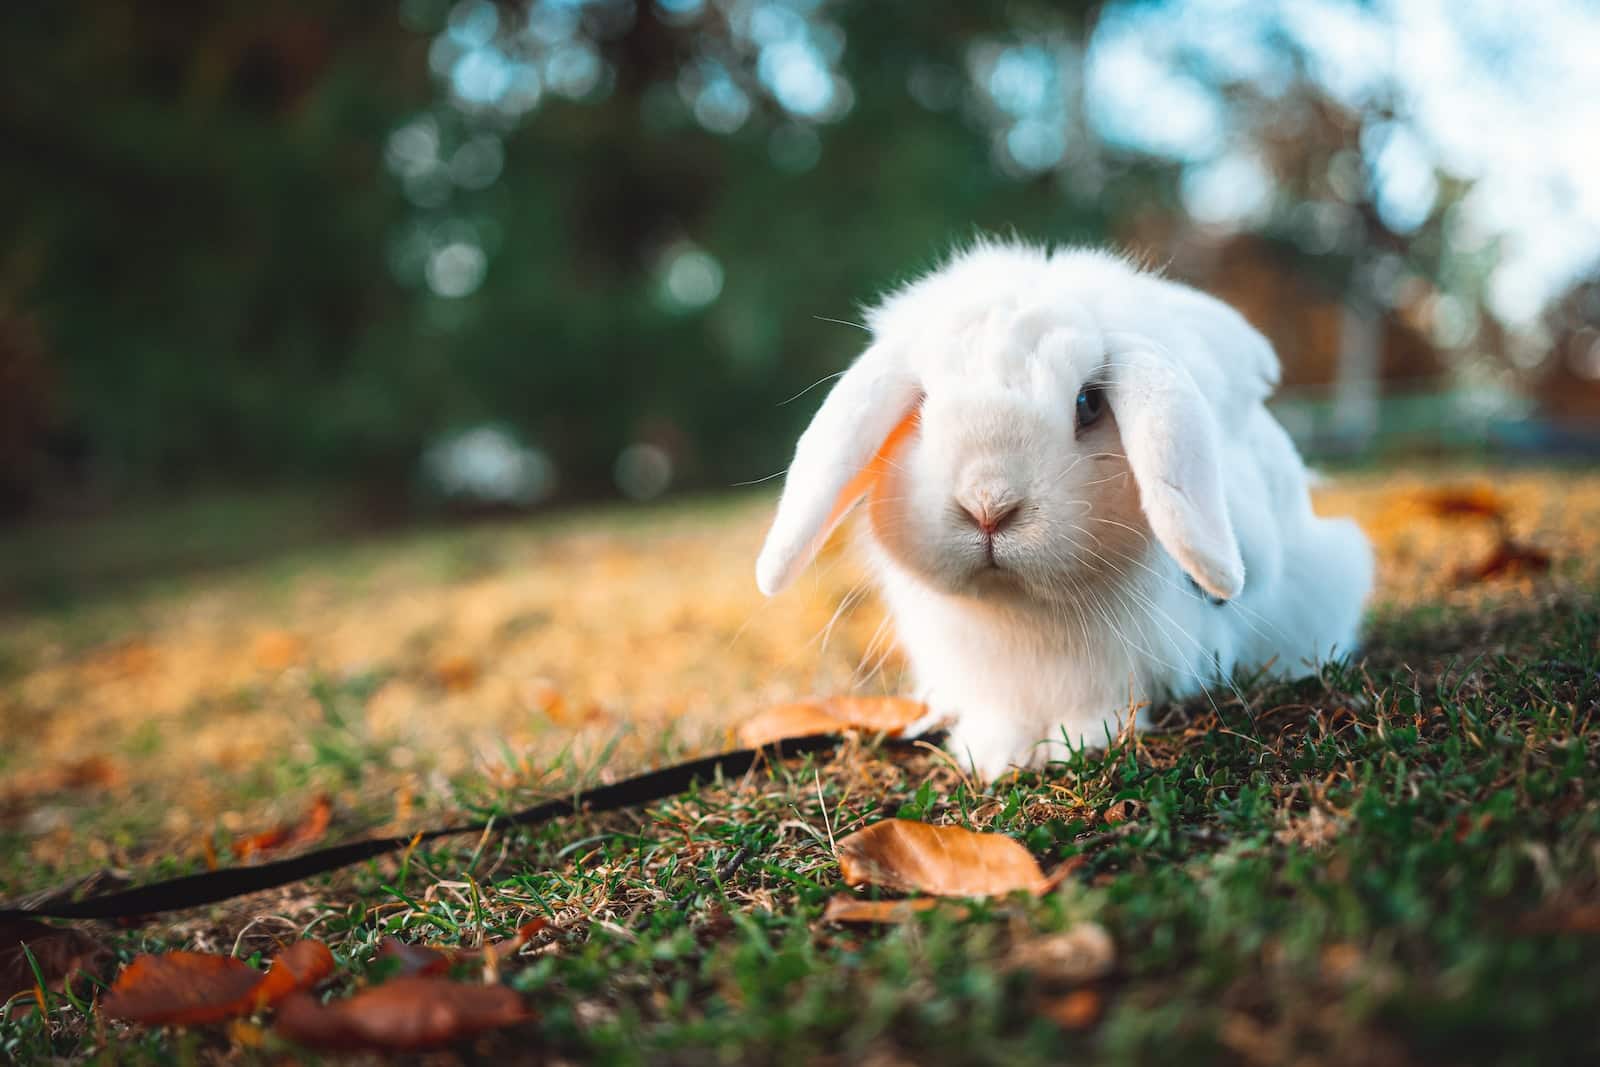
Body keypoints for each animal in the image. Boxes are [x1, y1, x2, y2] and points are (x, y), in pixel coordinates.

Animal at [754, 240, 1373, 779]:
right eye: (923, 405)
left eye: (1088, 403)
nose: (988, 504)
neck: (1022, 614)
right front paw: (993, 755)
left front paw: (1077, 744)